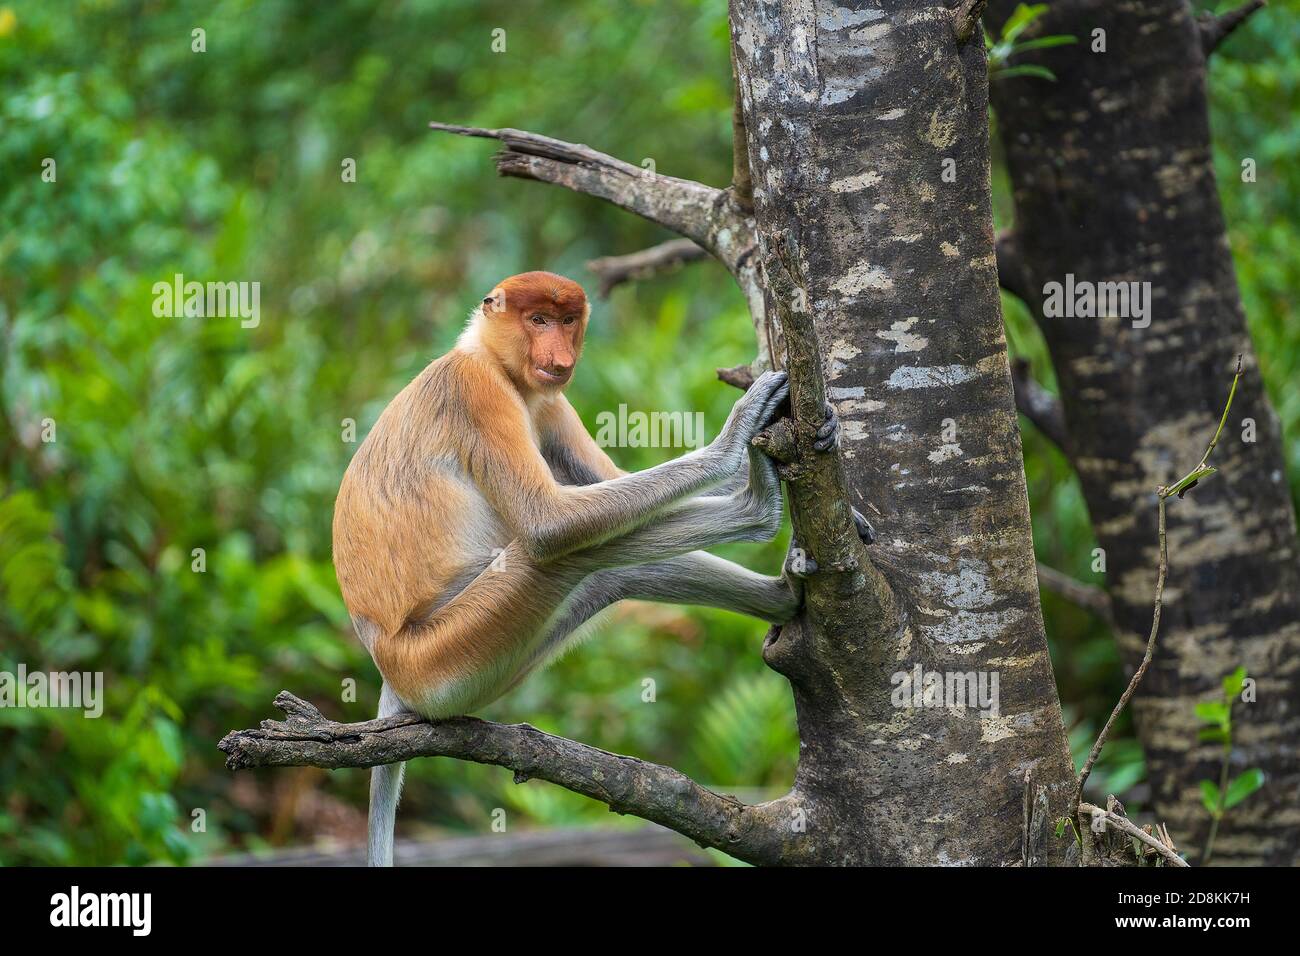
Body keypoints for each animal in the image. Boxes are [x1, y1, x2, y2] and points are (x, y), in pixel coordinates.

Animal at [331, 271, 854, 865]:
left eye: (566, 321)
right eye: (537, 320)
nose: (558, 354)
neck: (491, 360)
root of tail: (386, 660)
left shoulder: (550, 405)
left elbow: (609, 481)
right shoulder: (477, 392)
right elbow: (549, 523)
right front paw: (737, 435)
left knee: (612, 569)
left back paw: (785, 590)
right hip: (442, 660)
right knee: (566, 554)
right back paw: (759, 509)